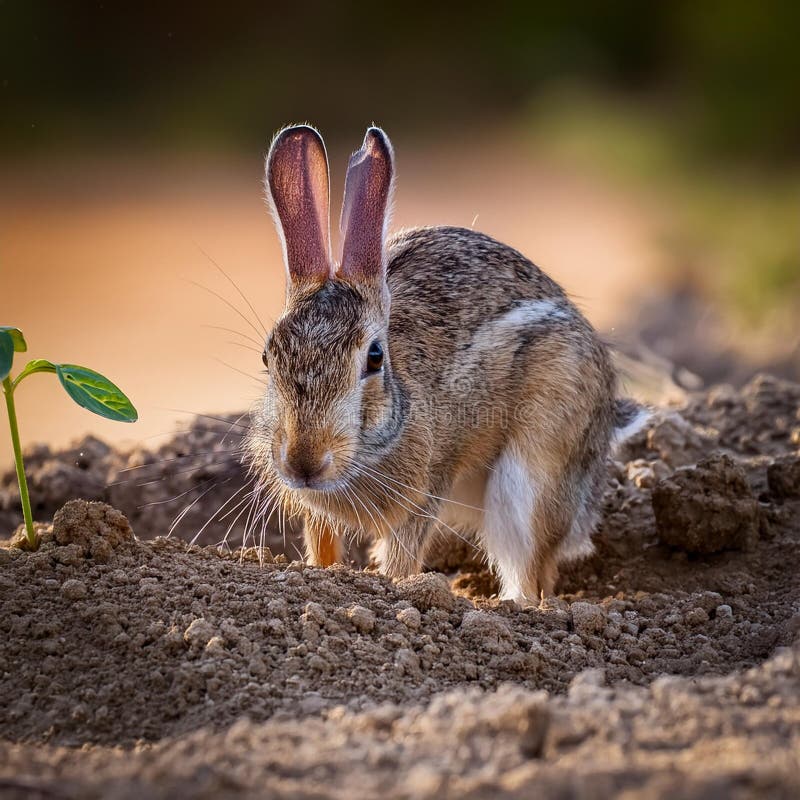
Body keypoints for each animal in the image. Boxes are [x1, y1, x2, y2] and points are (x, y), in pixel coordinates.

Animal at [244, 123, 649, 603]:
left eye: (375, 357)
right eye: (268, 355)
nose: (304, 463)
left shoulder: (426, 488)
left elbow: (403, 553)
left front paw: (395, 586)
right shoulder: (316, 508)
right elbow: (322, 542)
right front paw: (321, 573)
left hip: (533, 473)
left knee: (533, 570)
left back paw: (509, 605)